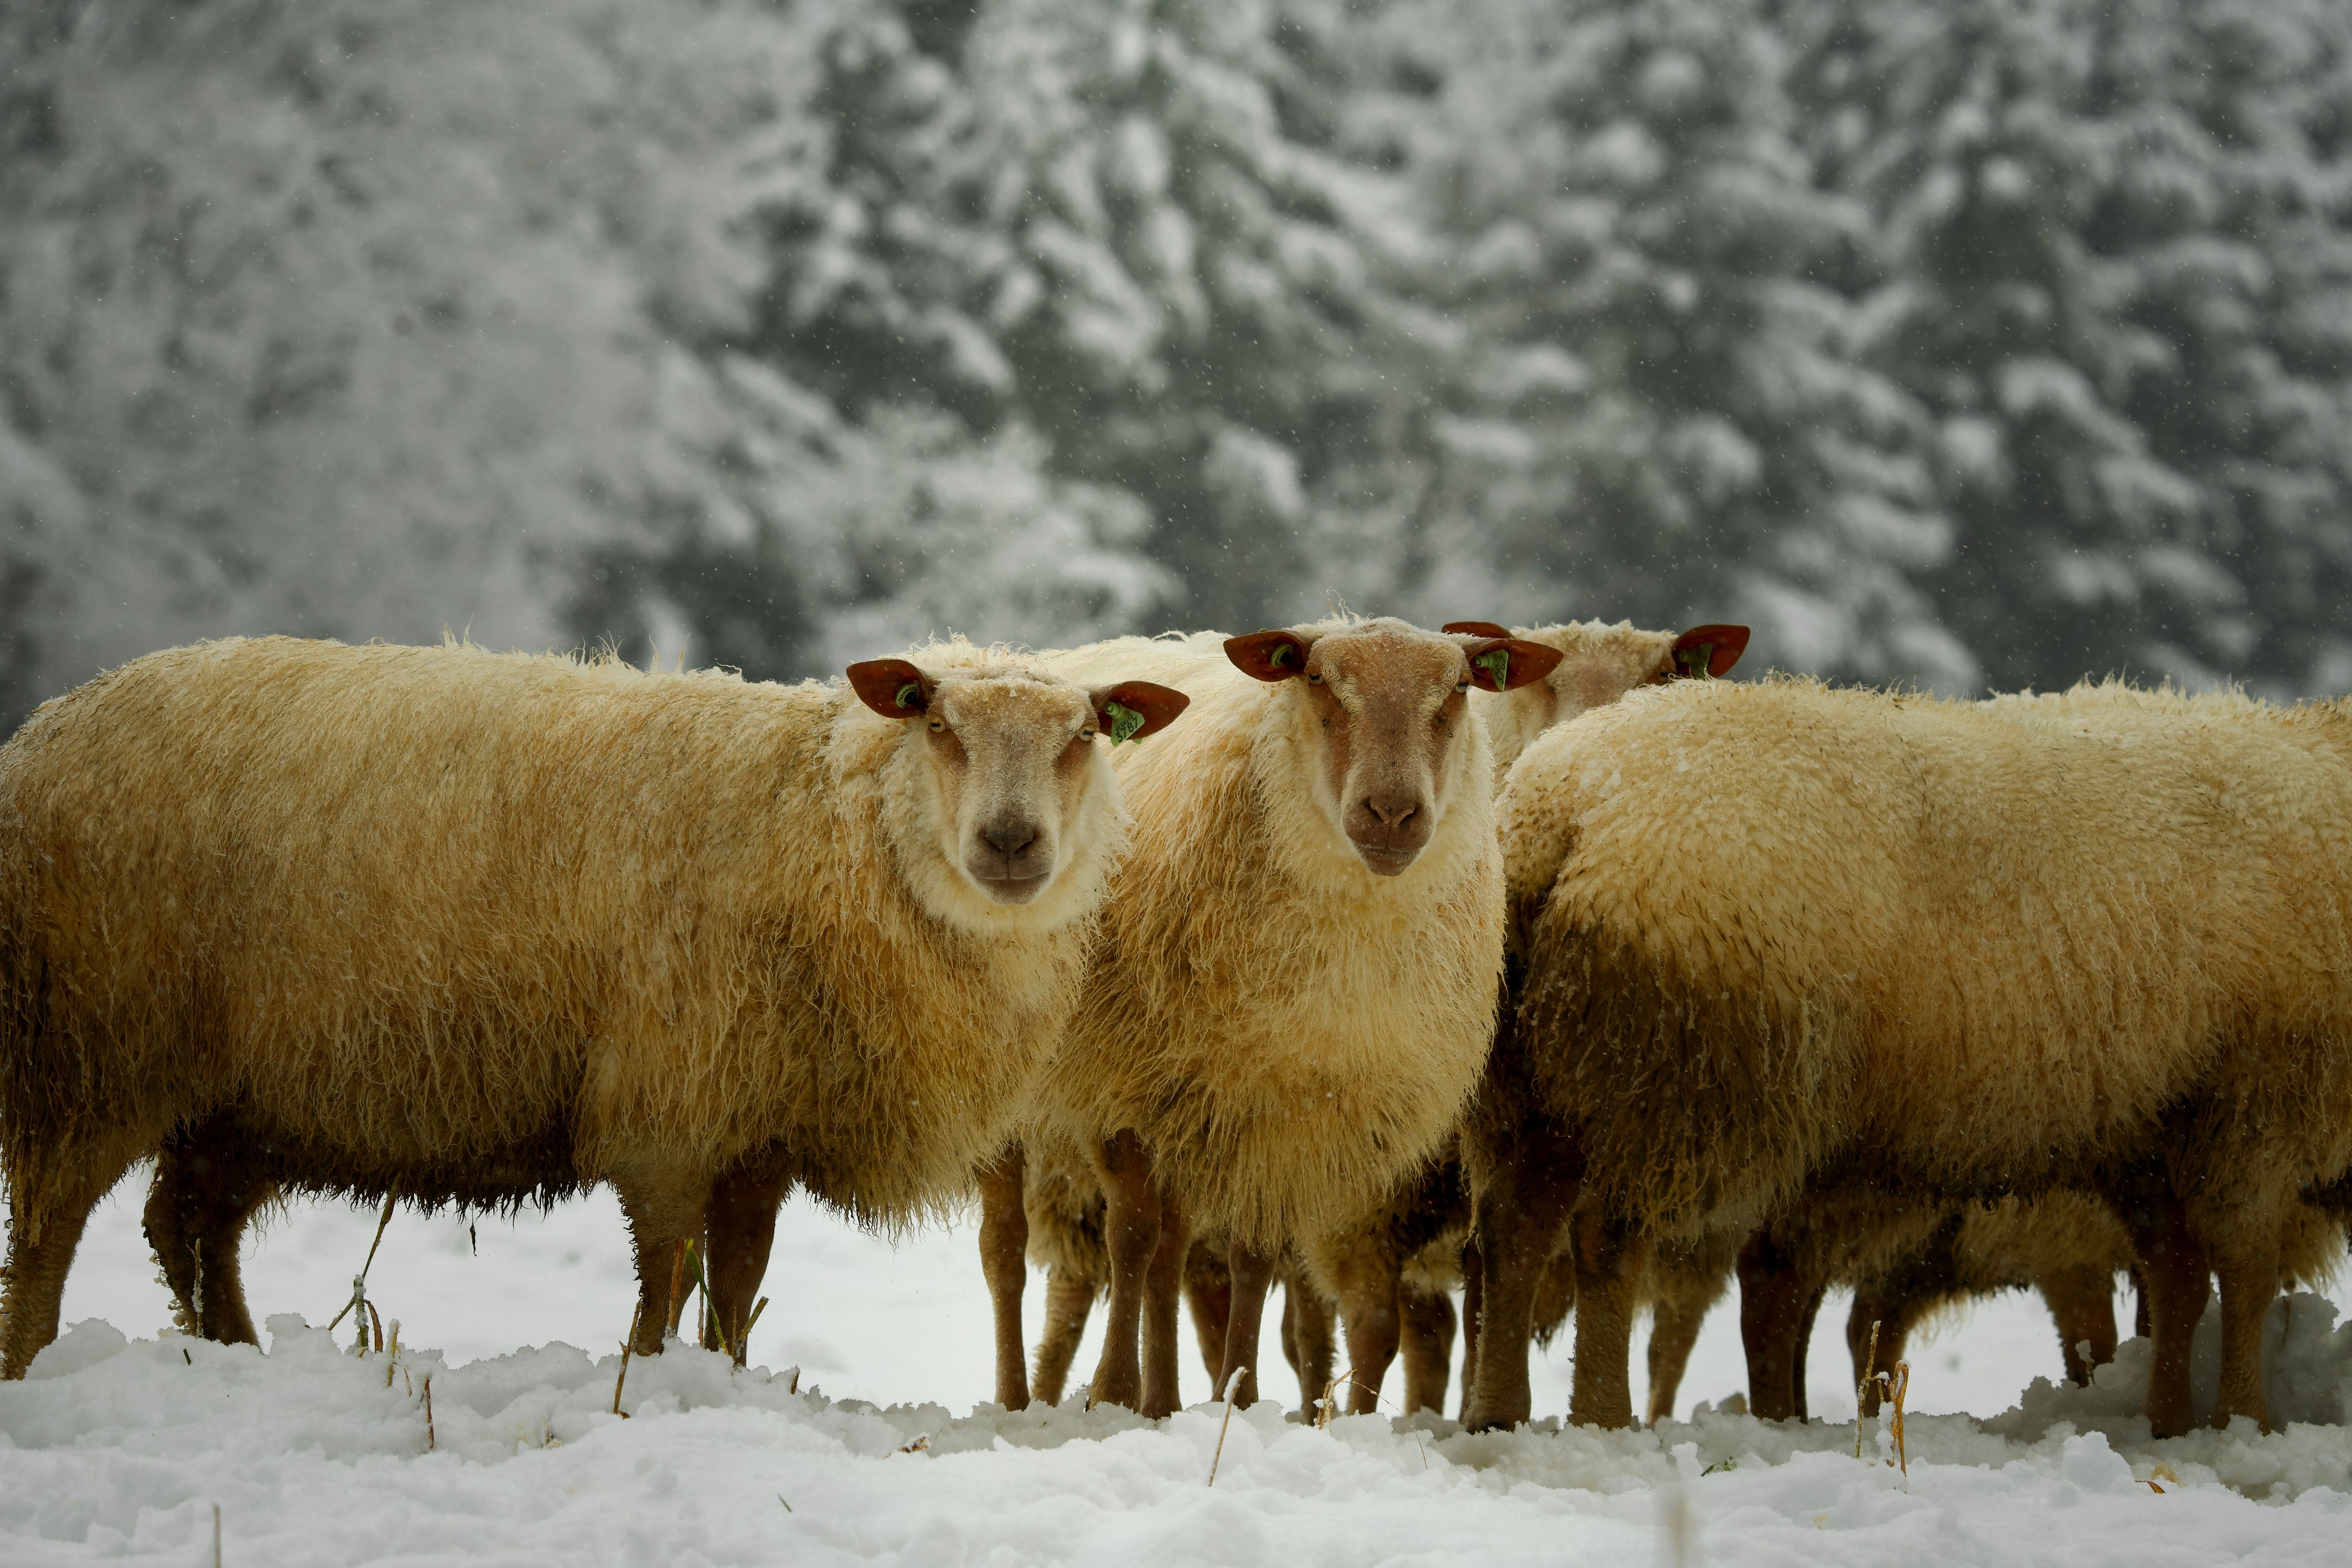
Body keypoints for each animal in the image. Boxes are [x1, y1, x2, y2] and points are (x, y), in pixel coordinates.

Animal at [0, 634, 1187, 1377]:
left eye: (1085, 736)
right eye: (936, 724)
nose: (1010, 842)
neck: (821, 821)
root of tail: (43, 732)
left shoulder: (753, 1121)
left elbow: (739, 1279)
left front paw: (724, 1380)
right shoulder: (670, 1099)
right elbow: (666, 1271)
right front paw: (648, 1380)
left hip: (235, 1091)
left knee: (184, 1223)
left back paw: (234, 1354)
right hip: (93, 1044)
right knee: (53, 1227)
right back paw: (32, 1362)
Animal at [974, 616, 1565, 1417]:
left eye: (1460, 689)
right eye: (1317, 680)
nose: (1392, 813)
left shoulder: (1276, 1115)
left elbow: (1248, 1259)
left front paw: (1236, 1396)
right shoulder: (1124, 1086)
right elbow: (1131, 1239)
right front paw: (1115, 1391)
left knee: (1175, 1252)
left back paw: (1167, 1397)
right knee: (1011, 1249)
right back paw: (1020, 1397)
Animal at [1467, 676, 2352, 1437]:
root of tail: (1562, 804)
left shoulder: (2161, 1119)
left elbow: (2180, 1280)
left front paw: (2170, 1419)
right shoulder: (2257, 1102)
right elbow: (2244, 1270)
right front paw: (2243, 1419)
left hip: (1542, 1075)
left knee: (1511, 1229)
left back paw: (1498, 1410)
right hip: (1671, 1074)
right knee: (1608, 1247)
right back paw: (1600, 1414)